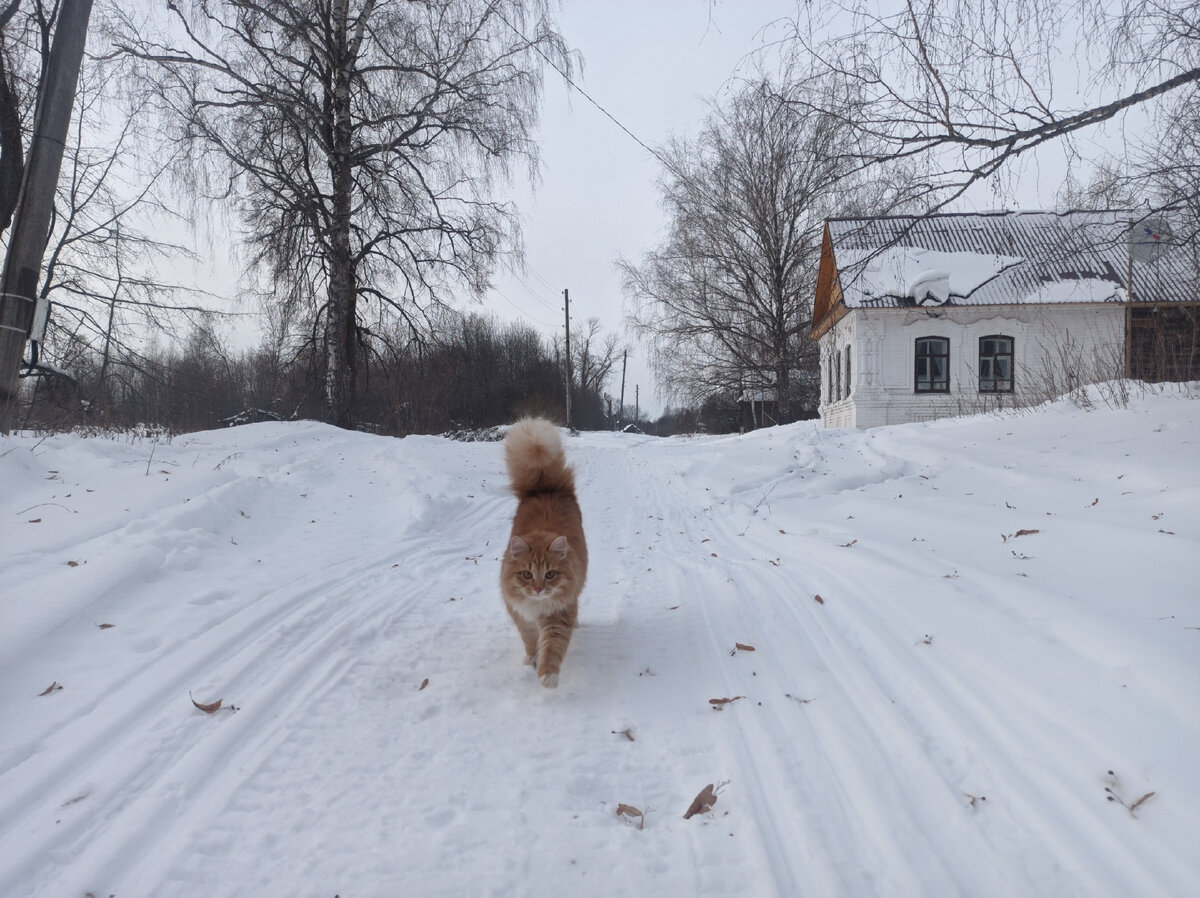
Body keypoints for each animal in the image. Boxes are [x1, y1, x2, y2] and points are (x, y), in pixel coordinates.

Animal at [499, 415, 588, 686]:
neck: (537, 607)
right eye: (527, 574)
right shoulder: (521, 615)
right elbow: (530, 641)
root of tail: (545, 486)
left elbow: (552, 648)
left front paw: (548, 676)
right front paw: (531, 658)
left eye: (550, 574)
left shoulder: (558, 616)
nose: (538, 589)